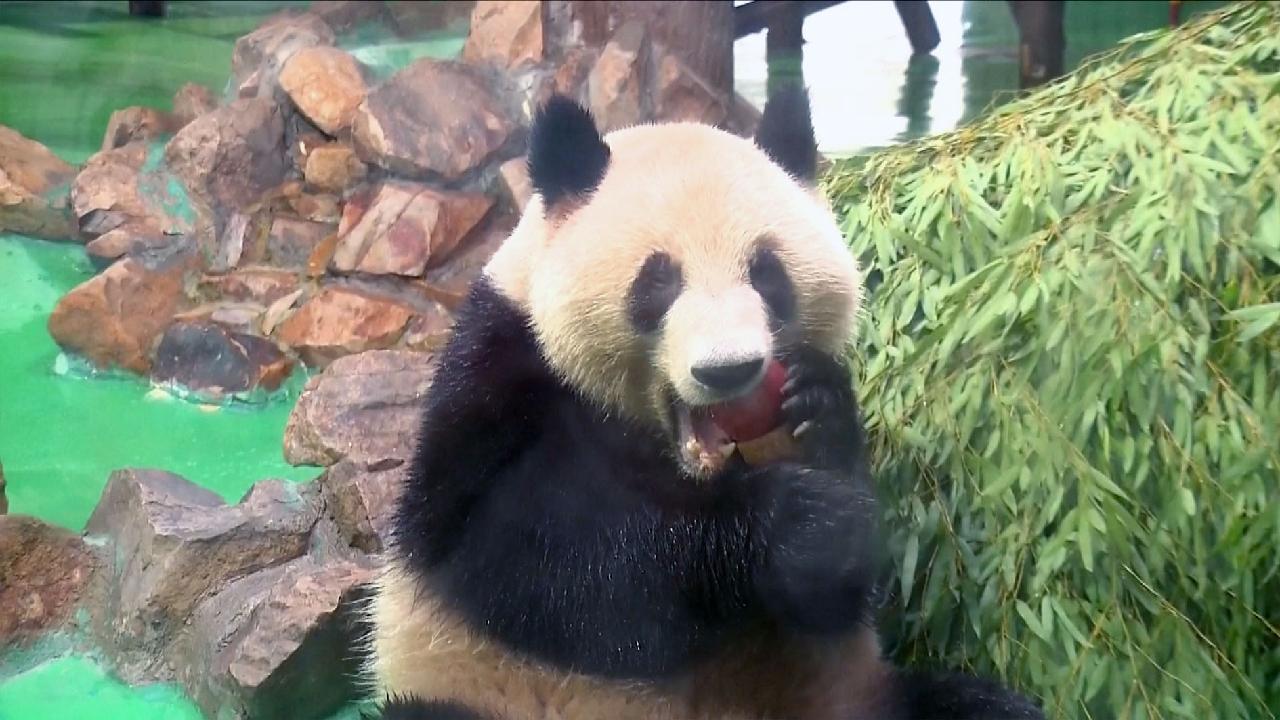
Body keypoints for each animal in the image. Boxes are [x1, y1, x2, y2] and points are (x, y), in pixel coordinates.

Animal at [365, 86, 1045, 720]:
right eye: (658, 279)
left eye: (767, 272)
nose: (729, 370)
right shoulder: (495, 381)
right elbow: (533, 562)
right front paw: (784, 521)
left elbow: (838, 593)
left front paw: (819, 411)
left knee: (976, 705)